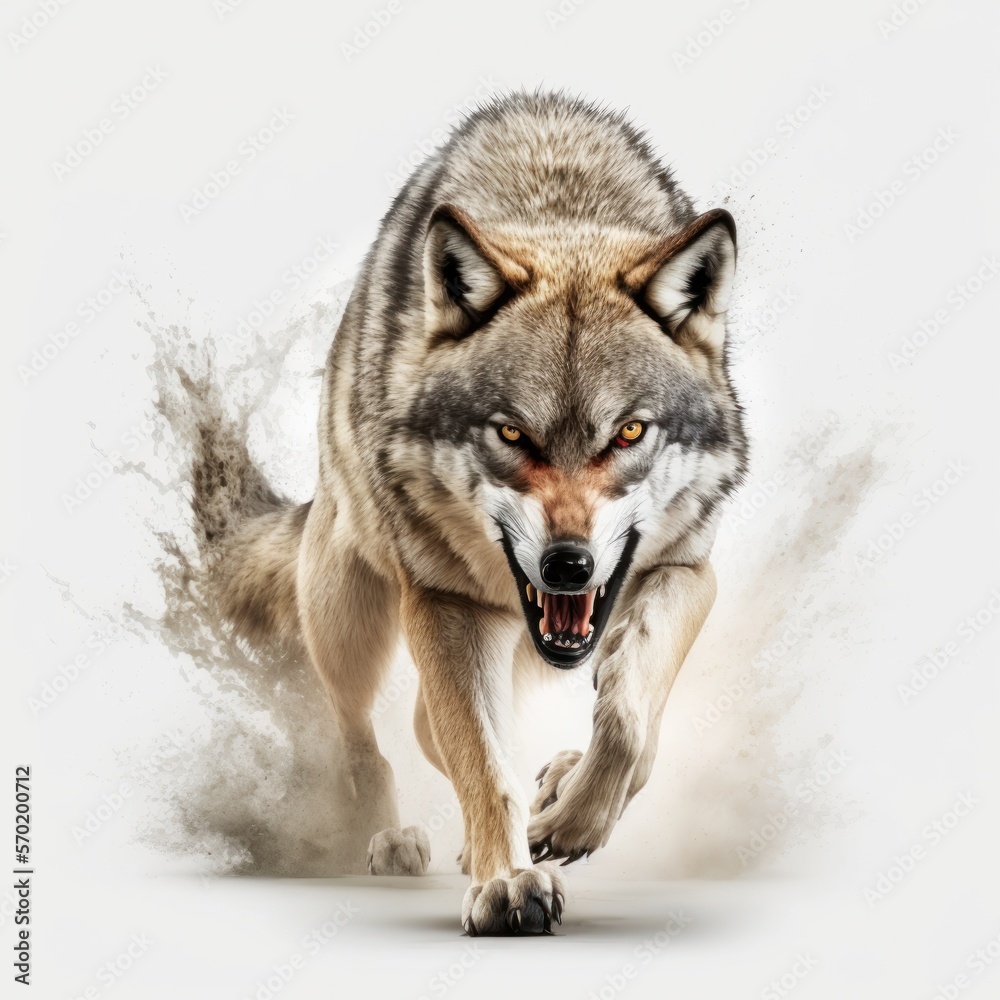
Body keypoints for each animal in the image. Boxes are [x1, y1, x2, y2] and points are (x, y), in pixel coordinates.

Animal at [186, 91, 747, 935]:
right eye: (511, 433)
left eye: (629, 433)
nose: (568, 565)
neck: (558, 199)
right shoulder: (445, 604)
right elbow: (481, 764)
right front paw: (508, 880)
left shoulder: (688, 570)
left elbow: (628, 718)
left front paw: (570, 812)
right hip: (350, 613)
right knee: (364, 739)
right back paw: (388, 838)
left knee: (436, 725)